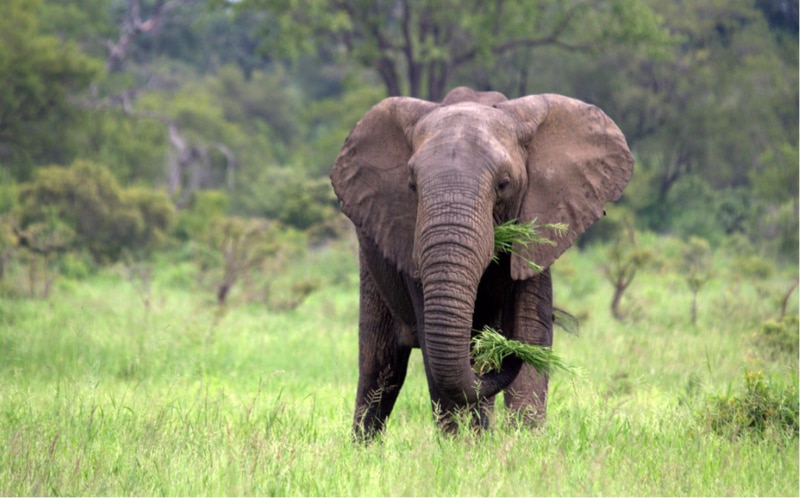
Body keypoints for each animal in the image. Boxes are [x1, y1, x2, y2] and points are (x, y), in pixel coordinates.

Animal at [331, 86, 633, 440]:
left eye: (503, 185)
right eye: (412, 186)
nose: (505, 347)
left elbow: (531, 333)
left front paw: (522, 442)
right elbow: (437, 351)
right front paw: (460, 446)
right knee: (380, 365)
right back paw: (364, 446)